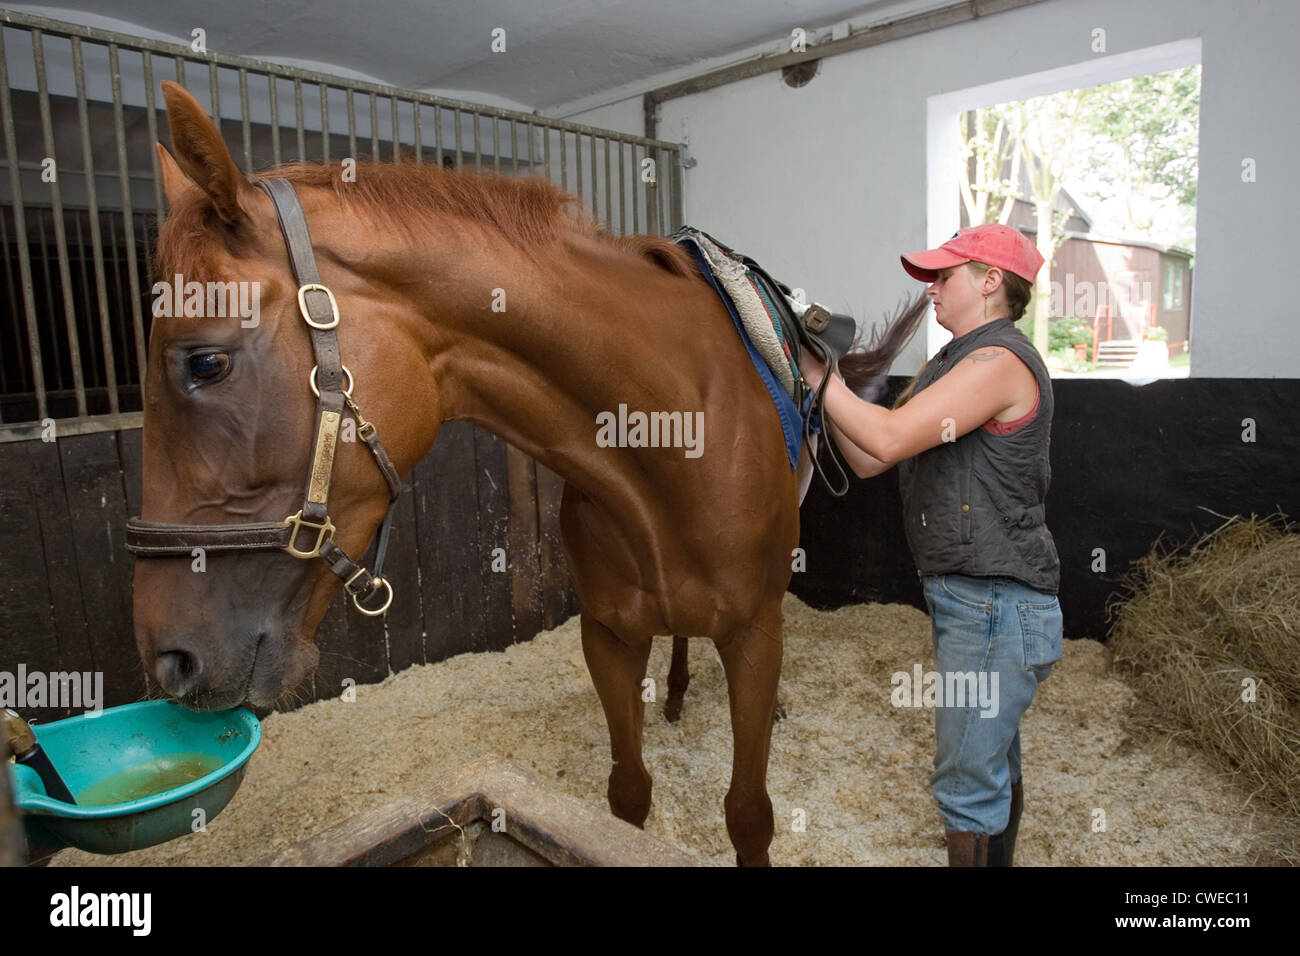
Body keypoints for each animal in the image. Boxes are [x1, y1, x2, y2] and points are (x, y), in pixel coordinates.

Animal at [131, 80, 920, 866]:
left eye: (206, 362)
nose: (168, 660)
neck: (670, 441)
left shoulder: (753, 635)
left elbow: (749, 812)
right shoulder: (609, 636)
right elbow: (625, 798)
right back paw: (673, 693)